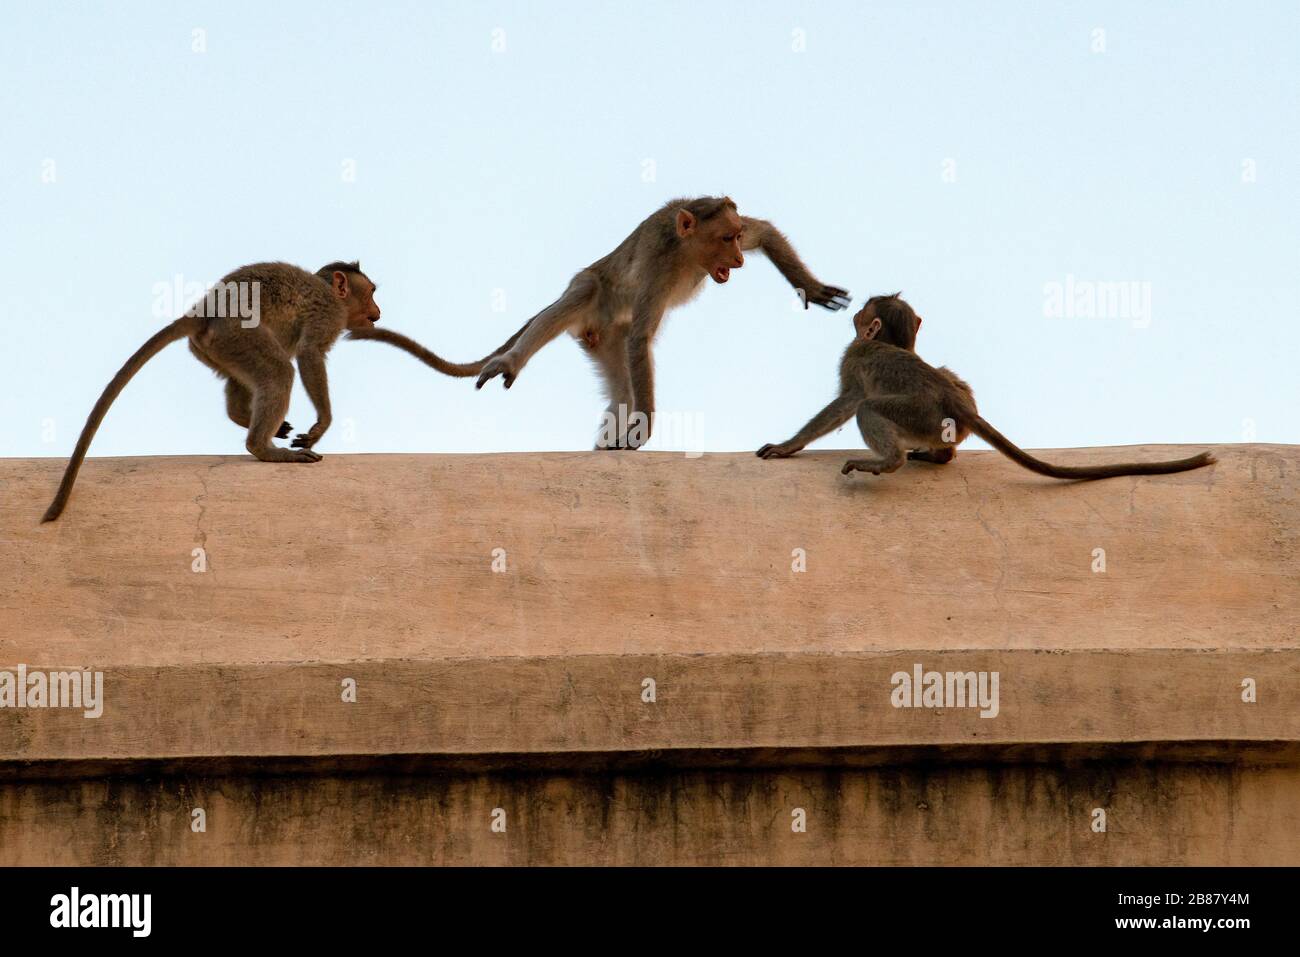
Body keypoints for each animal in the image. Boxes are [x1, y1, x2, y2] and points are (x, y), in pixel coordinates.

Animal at [41, 261, 383, 522]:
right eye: (371, 292)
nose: (378, 311)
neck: (331, 294)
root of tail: (204, 311)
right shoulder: (329, 315)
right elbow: (309, 354)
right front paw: (322, 424)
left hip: (217, 347)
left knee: (249, 379)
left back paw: (246, 421)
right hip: (238, 333)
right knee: (279, 371)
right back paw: (263, 448)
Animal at [472, 196, 851, 449]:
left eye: (738, 236)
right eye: (727, 238)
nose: (740, 259)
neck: (687, 253)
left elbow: (768, 232)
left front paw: (812, 289)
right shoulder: (659, 268)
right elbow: (641, 338)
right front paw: (644, 428)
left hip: (609, 338)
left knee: (623, 392)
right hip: (594, 298)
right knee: (586, 291)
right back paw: (512, 360)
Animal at [756, 293, 1216, 481]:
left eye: (863, 314)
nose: (854, 315)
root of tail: (957, 406)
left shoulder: (853, 356)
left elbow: (848, 401)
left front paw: (787, 446)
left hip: (921, 414)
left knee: (871, 408)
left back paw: (889, 463)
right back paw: (938, 456)